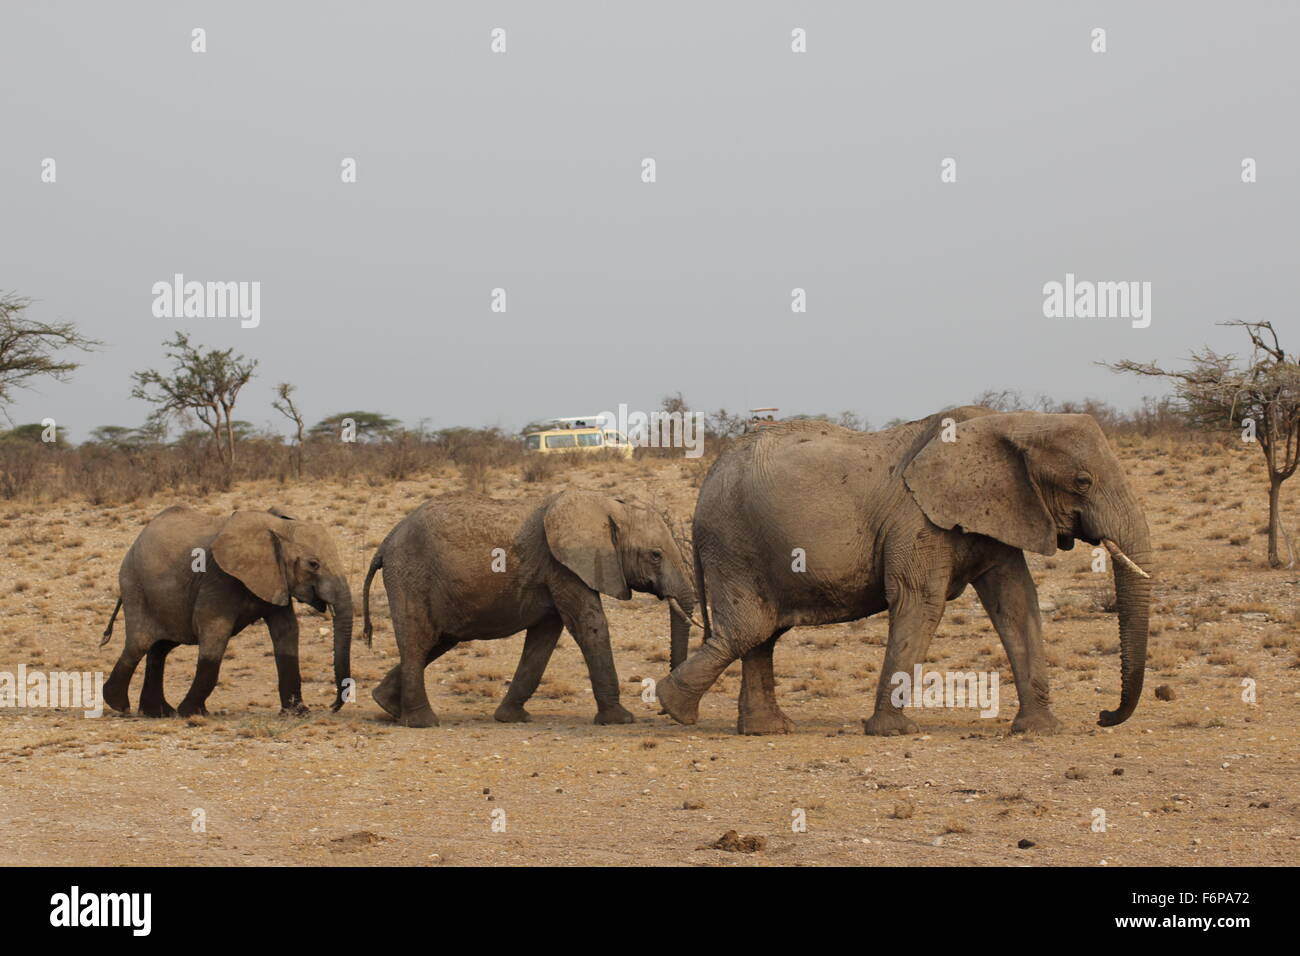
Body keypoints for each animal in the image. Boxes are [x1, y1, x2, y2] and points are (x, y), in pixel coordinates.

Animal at [101, 505, 354, 718]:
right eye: (313, 564)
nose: (332, 707)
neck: (276, 527)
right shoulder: (219, 577)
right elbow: (215, 631)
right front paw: (191, 713)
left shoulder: (275, 579)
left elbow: (287, 631)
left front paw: (297, 713)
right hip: (135, 586)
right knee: (139, 645)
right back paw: (119, 705)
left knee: (160, 649)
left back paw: (158, 712)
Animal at [361, 490, 699, 727]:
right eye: (655, 555)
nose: (663, 711)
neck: (607, 506)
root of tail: (386, 542)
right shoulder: (563, 566)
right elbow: (590, 626)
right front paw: (620, 720)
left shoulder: (554, 573)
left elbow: (544, 639)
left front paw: (510, 718)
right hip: (410, 575)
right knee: (418, 640)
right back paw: (422, 723)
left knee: (437, 640)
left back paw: (386, 705)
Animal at [655, 407, 1153, 736]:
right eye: (1083, 482)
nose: (1104, 716)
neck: (1010, 423)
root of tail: (710, 473)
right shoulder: (918, 520)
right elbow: (920, 601)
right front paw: (893, 731)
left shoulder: (1000, 514)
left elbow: (1016, 602)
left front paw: (1039, 730)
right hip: (732, 541)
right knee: (749, 628)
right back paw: (673, 707)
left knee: (762, 633)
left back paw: (767, 729)